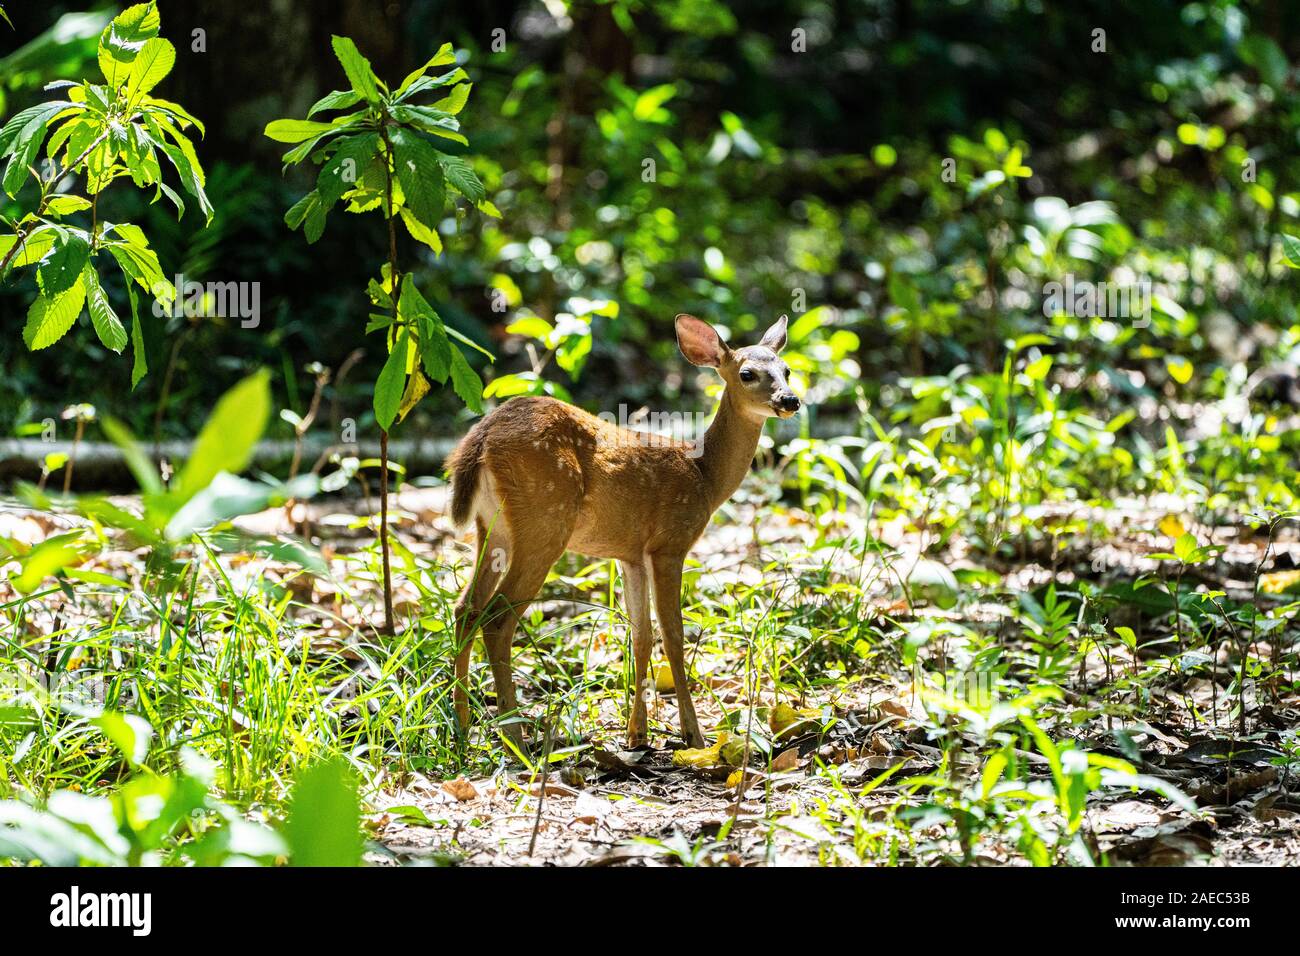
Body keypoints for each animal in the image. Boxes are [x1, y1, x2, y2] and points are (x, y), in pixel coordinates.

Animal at [441, 316, 795, 754]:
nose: (790, 400)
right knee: (497, 618)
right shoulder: (669, 543)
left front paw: (637, 734)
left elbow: (640, 635)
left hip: (492, 529)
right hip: (544, 522)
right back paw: (512, 736)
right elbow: (673, 634)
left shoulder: (631, 555)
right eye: (747, 374)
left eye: (787, 369)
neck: (704, 476)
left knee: (465, 609)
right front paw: (693, 735)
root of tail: (482, 437)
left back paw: (462, 728)